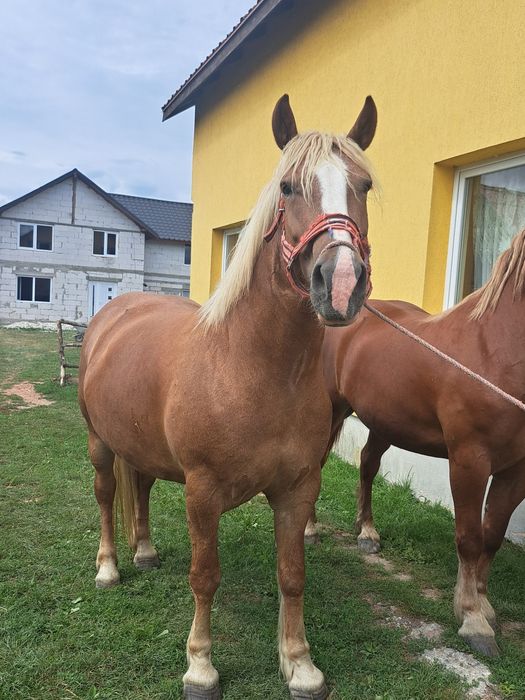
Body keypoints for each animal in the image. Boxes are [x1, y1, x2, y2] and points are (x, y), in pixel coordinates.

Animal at [78, 93, 379, 699]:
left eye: (364, 184)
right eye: (288, 186)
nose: (340, 284)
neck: (254, 371)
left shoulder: (297, 490)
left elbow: (292, 575)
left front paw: (300, 664)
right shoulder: (203, 492)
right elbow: (205, 576)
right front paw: (200, 666)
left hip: (140, 444)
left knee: (140, 486)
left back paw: (145, 551)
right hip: (100, 442)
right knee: (106, 495)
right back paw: (110, 567)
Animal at [307, 228, 525, 658]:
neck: (495, 349)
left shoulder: (516, 468)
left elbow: (493, 534)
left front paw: (484, 605)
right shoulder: (469, 461)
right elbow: (470, 537)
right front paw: (472, 618)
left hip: (385, 423)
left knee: (367, 465)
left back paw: (367, 533)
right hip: (334, 410)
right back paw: (309, 528)